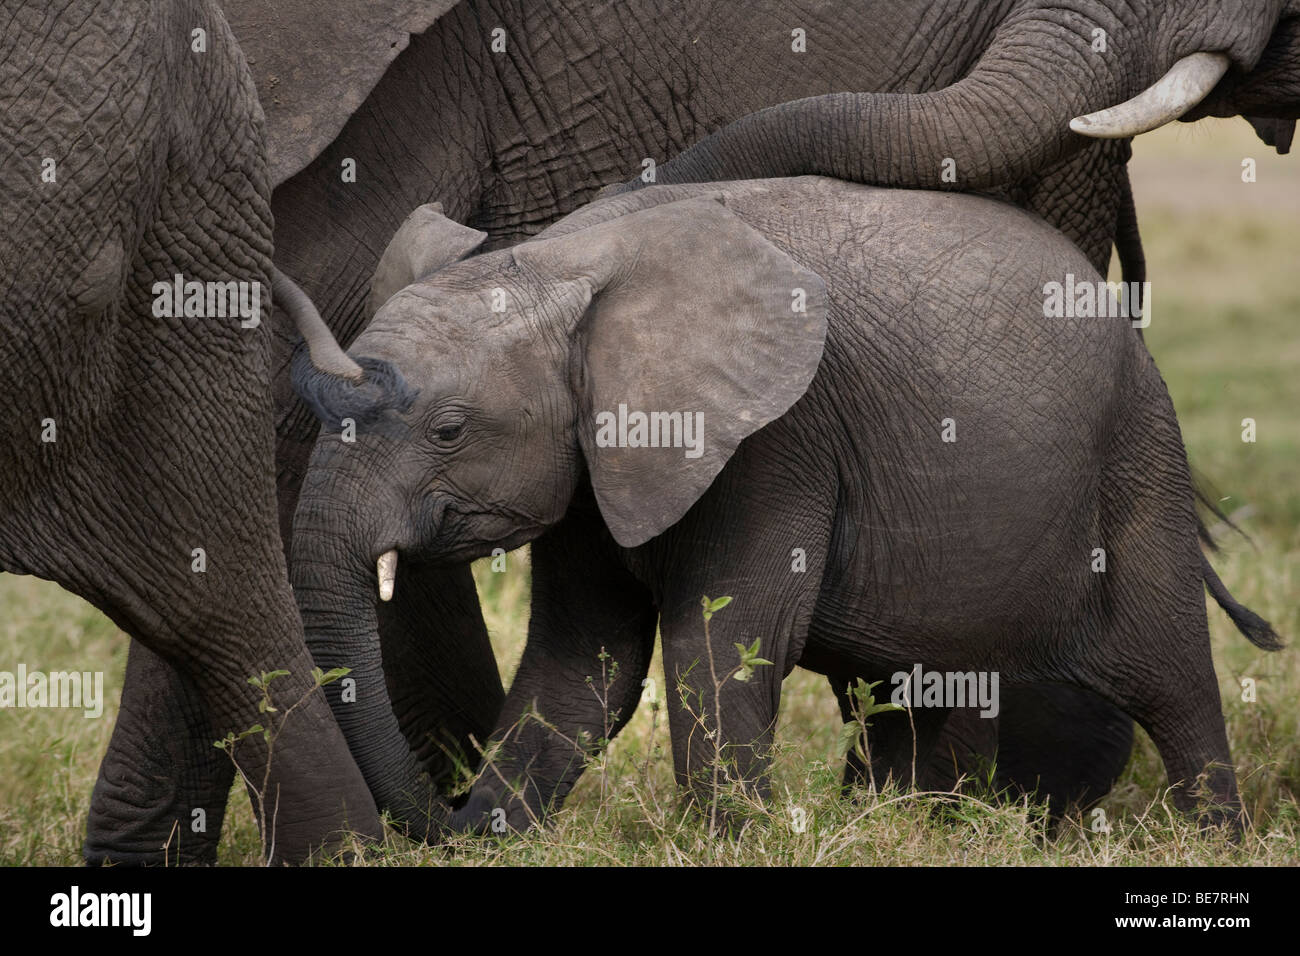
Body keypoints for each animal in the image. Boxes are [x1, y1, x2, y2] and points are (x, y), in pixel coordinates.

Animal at [289, 176, 1281, 839]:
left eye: (450, 430)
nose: (451, 813)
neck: (559, 260)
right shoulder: (597, 460)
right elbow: (584, 664)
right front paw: (502, 831)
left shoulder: (780, 439)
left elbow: (718, 640)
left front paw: (735, 839)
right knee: (923, 691)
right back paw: (905, 828)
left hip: (1137, 456)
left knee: (1171, 674)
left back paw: (1213, 840)